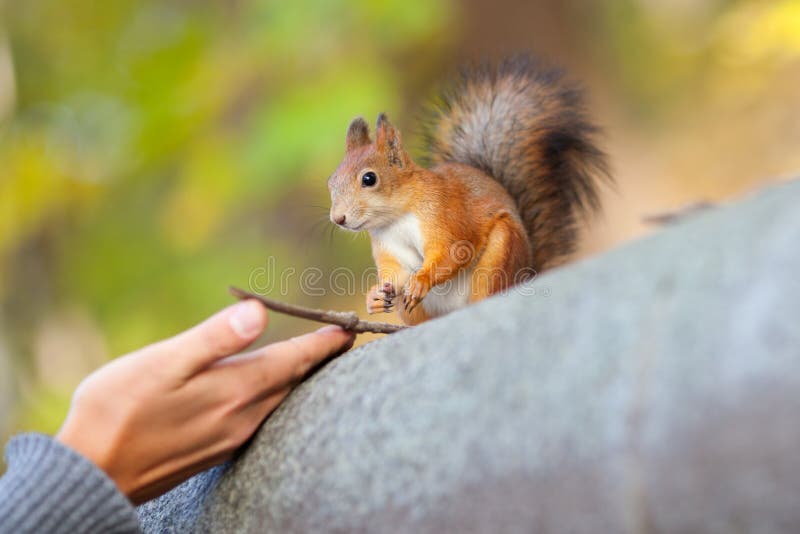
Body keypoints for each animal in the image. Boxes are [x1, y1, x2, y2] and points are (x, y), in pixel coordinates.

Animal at [327, 55, 609, 326]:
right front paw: (373, 296)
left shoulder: (444, 217)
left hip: (497, 259)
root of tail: (527, 273)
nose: (338, 219)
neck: (396, 217)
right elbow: (395, 275)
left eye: (369, 178)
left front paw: (421, 280)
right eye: (331, 182)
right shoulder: (387, 247)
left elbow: (452, 253)